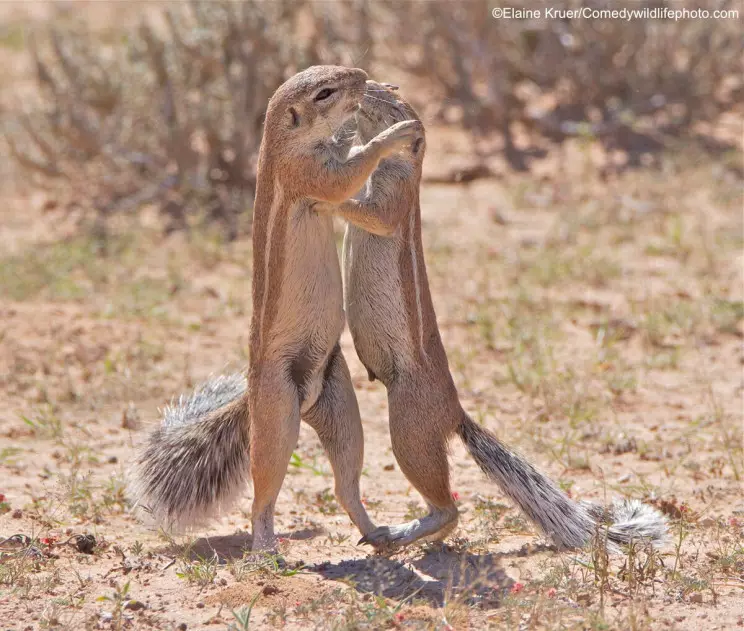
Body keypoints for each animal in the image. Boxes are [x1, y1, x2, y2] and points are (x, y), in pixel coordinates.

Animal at [128, 65, 424, 552]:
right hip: (276, 415)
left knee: (344, 484)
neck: (283, 141)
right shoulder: (306, 173)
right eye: (325, 92)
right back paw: (266, 549)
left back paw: (377, 533)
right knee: (262, 493)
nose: (362, 75)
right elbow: (346, 175)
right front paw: (391, 136)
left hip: (339, 401)